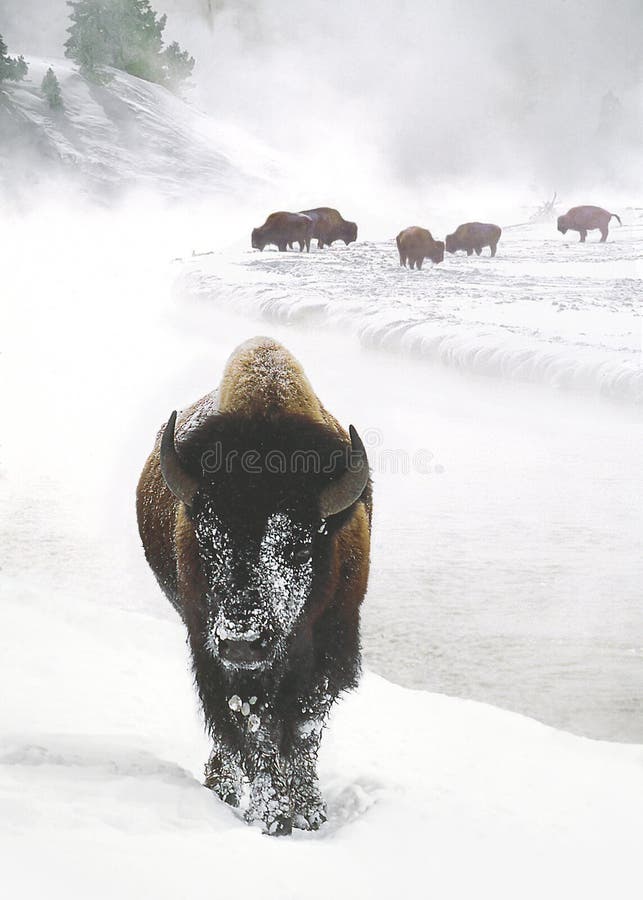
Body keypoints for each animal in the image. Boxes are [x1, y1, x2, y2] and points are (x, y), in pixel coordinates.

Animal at [136, 337, 372, 835]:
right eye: (208, 542)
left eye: (299, 549)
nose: (243, 639)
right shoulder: (218, 657)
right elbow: (252, 728)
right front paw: (273, 816)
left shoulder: (330, 652)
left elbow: (303, 731)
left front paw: (310, 812)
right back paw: (221, 786)